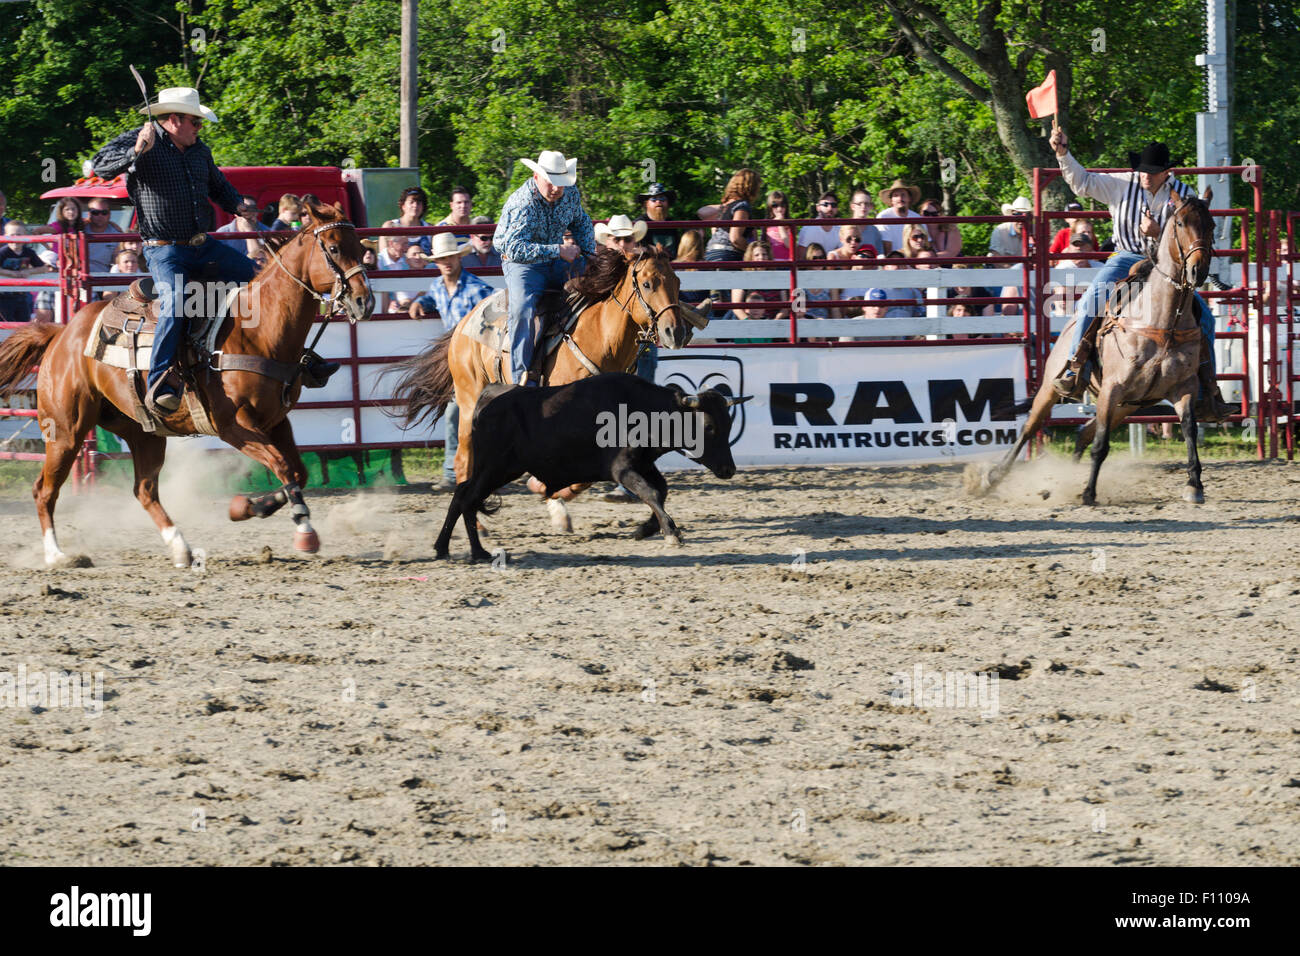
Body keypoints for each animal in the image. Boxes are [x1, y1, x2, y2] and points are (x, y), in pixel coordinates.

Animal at [434, 373, 747, 561]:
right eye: (709, 427)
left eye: (729, 423)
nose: (728, 469)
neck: (643, 410)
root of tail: (490, 395)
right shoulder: (622, 469)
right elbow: (650, 492)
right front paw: (670, 533)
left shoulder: (644, 464)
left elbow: (660, 490)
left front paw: (646, 528)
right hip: (494, 468)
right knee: (468, 498)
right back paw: (477, 551)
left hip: (495, 470)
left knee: (461, 495)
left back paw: (444, 547)